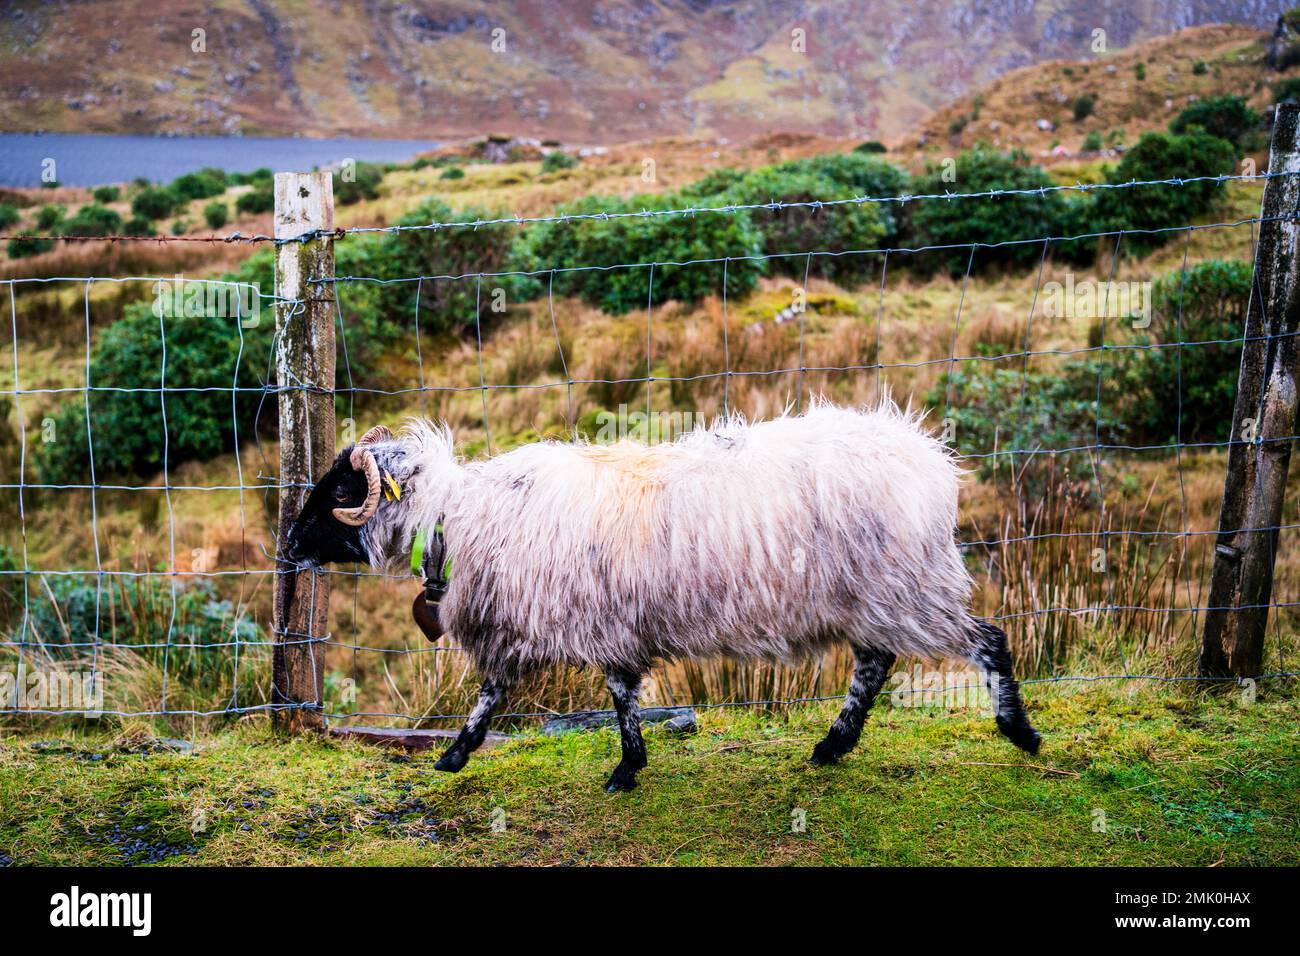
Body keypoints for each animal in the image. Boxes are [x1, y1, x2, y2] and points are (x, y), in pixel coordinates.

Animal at [284, 401, 1041, 791]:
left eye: (340, 488)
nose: (286, 547)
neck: (460, 517)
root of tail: (932, 465)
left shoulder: (588, 621)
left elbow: (613, 693)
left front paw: (626, 767)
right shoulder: (538, 622)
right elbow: (496, 692)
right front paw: (456, 754)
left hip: (905, 583)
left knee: (985, 641)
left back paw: (1020, 733)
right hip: (878, 593)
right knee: (876, 663)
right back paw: (833, 745)